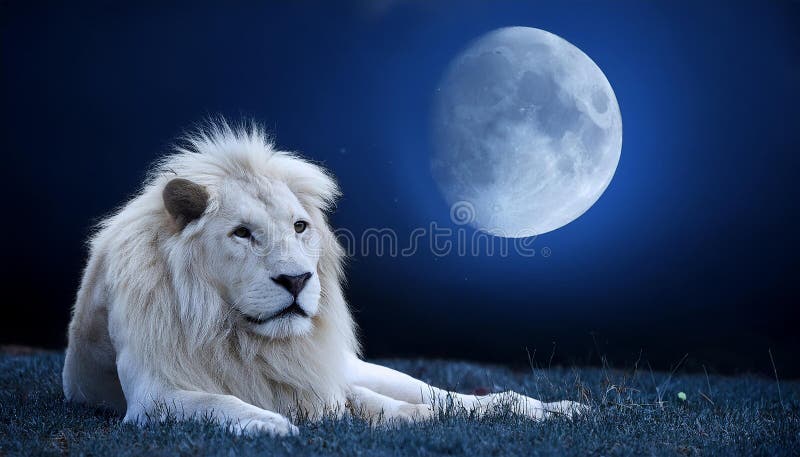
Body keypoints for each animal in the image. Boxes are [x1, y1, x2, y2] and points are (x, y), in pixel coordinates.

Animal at [63, 121, 584, 436]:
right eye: (242, 233)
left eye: (299, 227)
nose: (296, 280)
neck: (236, 334)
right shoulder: (153, 397)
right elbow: (220, 403)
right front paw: (276, 426)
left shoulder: (319, 380)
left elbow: (384, 405)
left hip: (360, 368)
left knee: (451, 397)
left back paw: (558, 408)